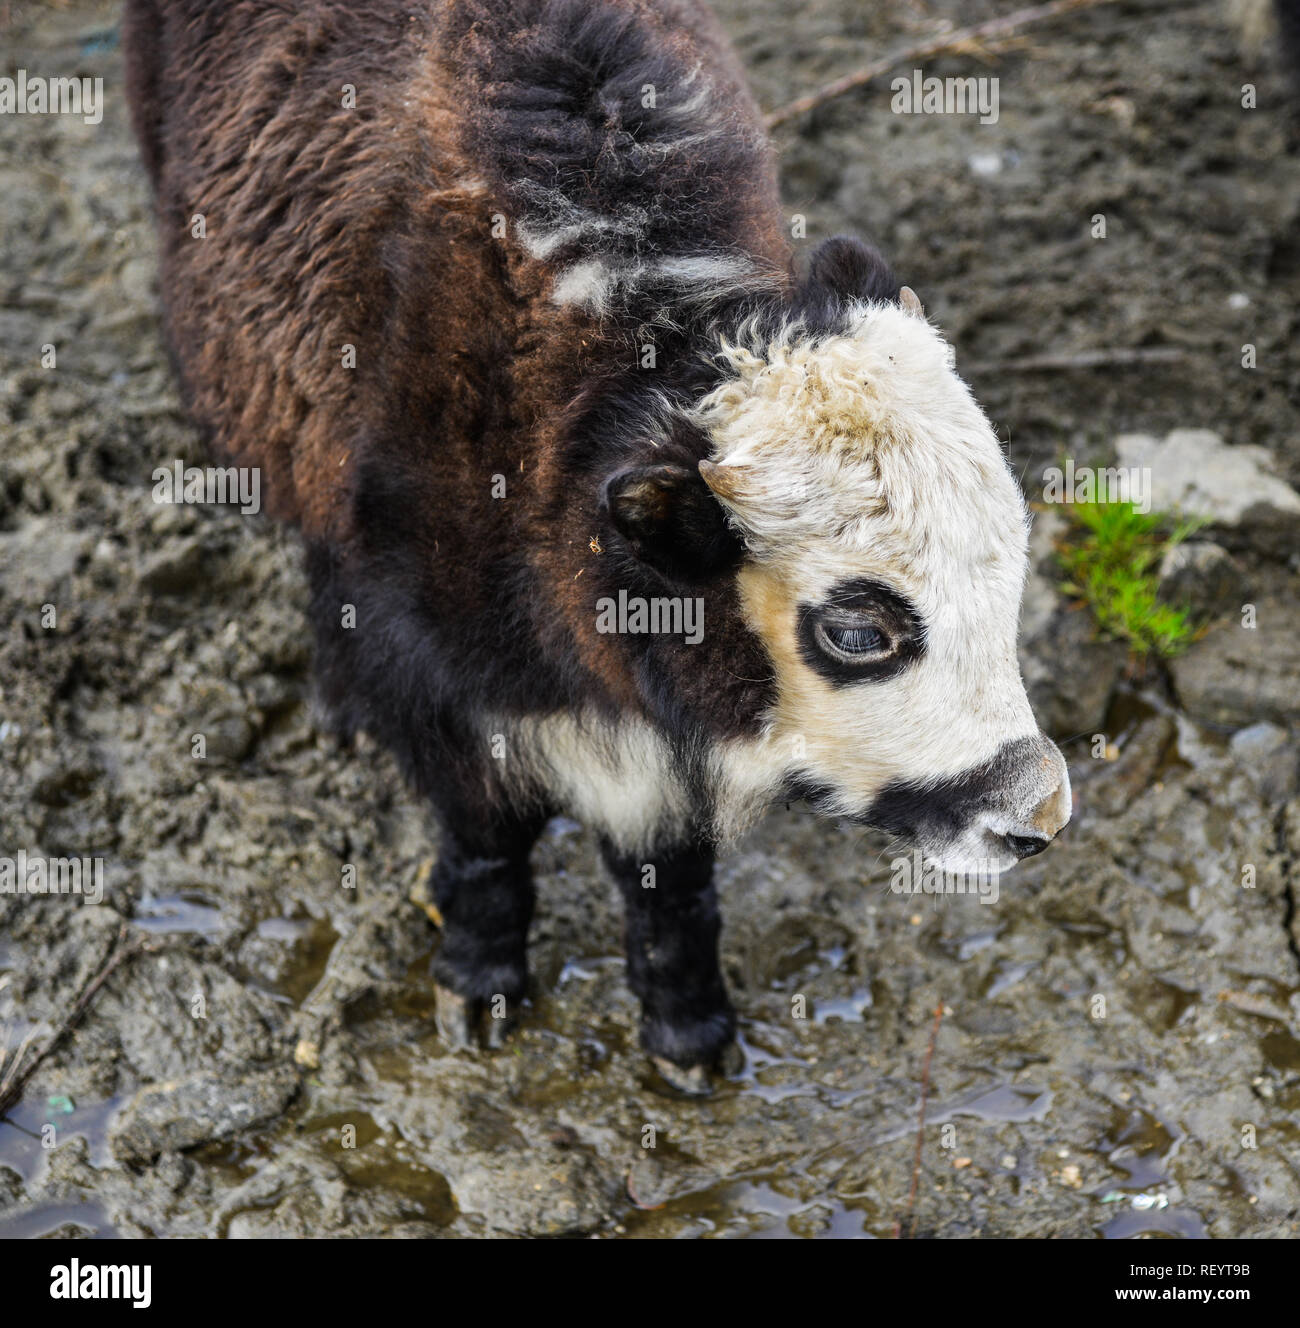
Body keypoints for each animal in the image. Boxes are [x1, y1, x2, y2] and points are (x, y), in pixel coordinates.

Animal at [124, 0, 1071, 1091]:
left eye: (1012, 564)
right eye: (857, 632)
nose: (1036, 817)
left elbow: (669, 880)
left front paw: (689, 1040)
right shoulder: (450, 680)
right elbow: (486, 838)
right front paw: (476, 992)